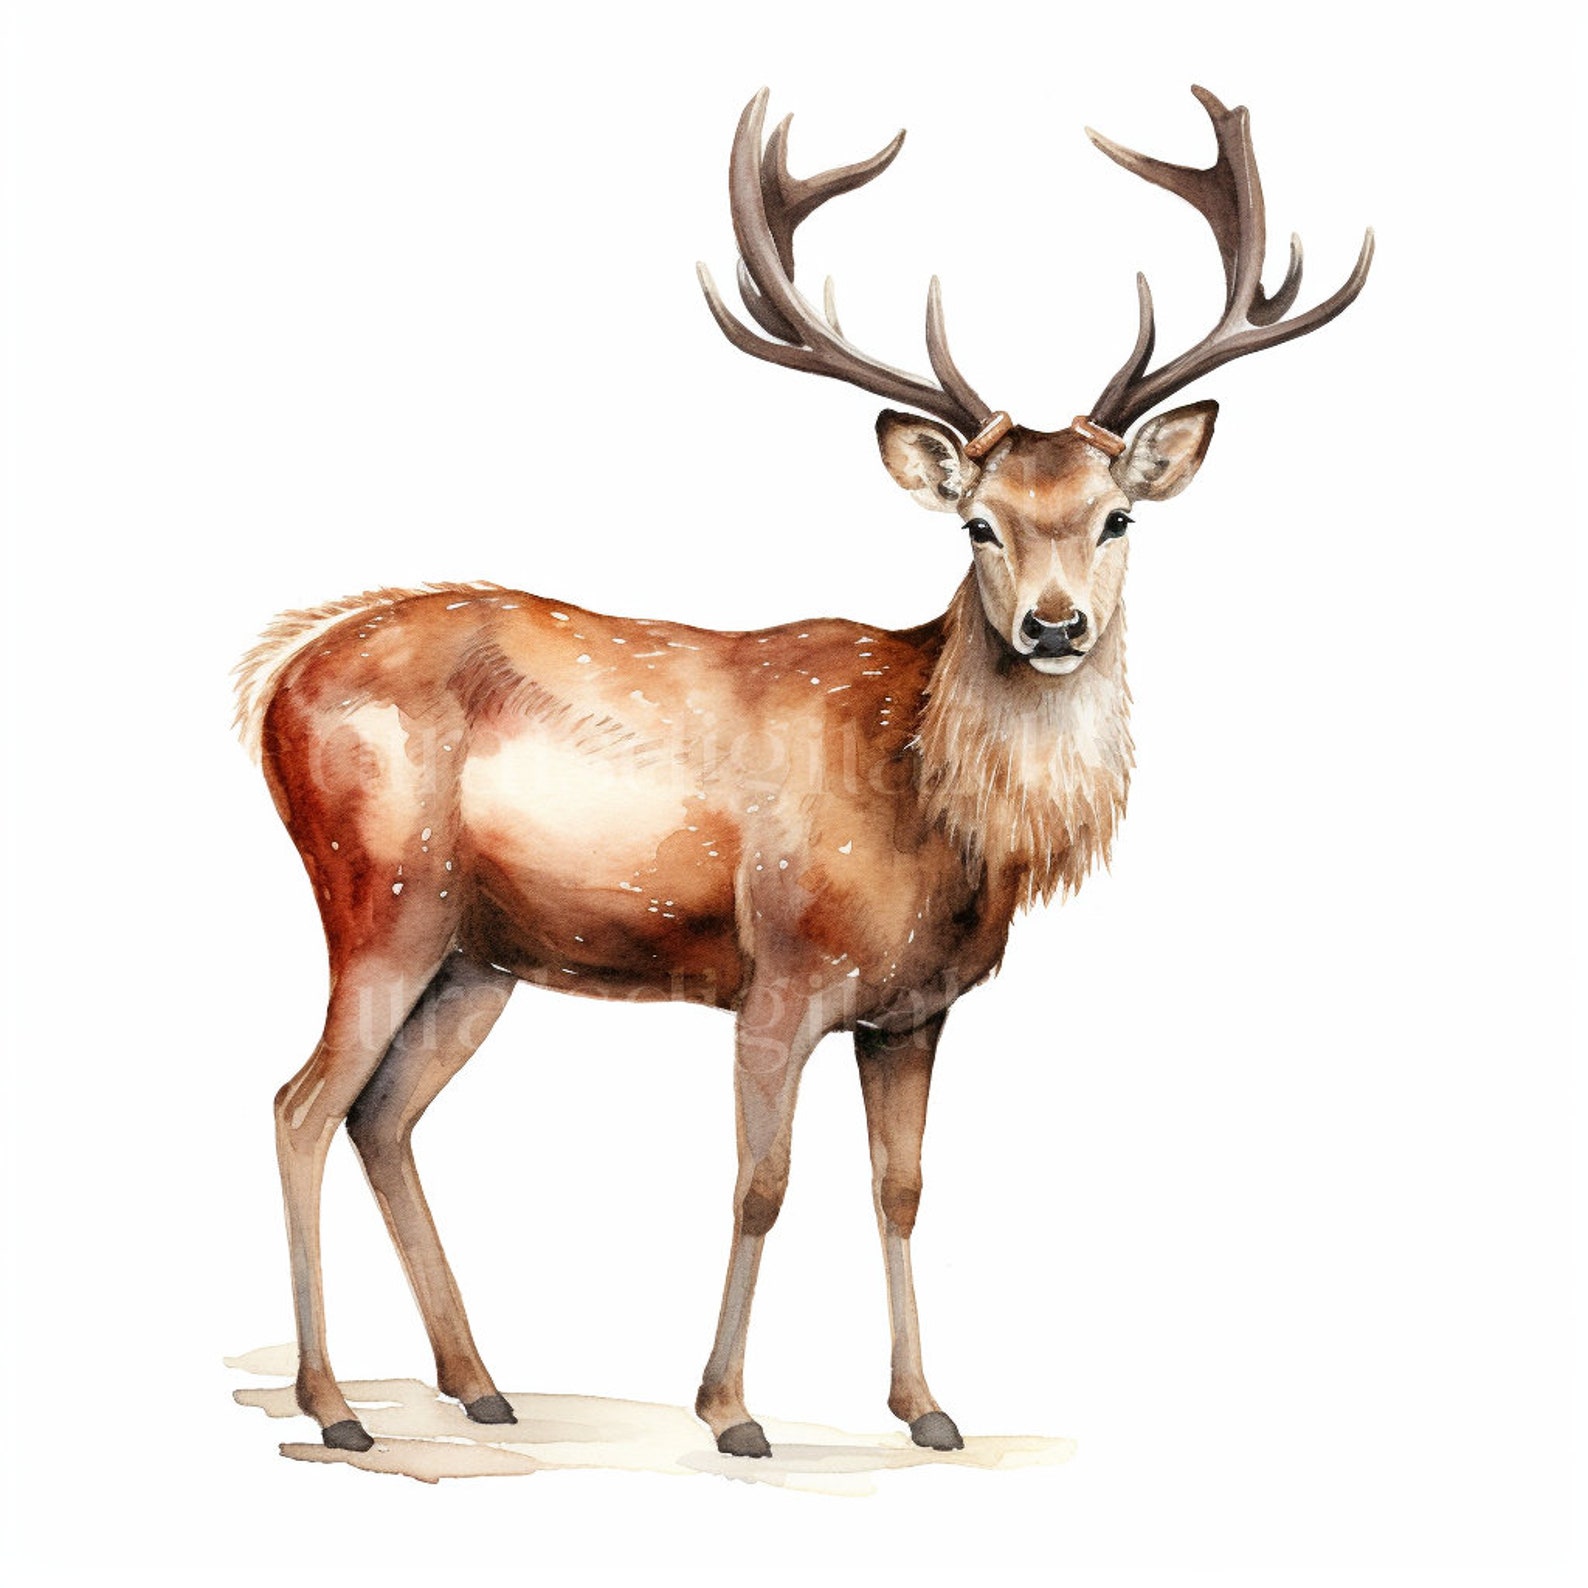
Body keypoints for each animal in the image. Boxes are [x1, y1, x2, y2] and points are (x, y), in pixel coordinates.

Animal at [236, 85, 1372, 1459]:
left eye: (1118, 517)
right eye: (978, 523)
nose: (1052, 627)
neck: (937, 825)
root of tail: (272, 679)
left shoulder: (914, 1008)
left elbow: (901, 1188)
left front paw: (926, 1406)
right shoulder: (780, 969)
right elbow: (761, 1182)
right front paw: (729, 1410)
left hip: (478, 951)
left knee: (382, 1113)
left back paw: (478, 1380)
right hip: (377, 894)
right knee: (300, 1102)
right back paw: (336, 1403)